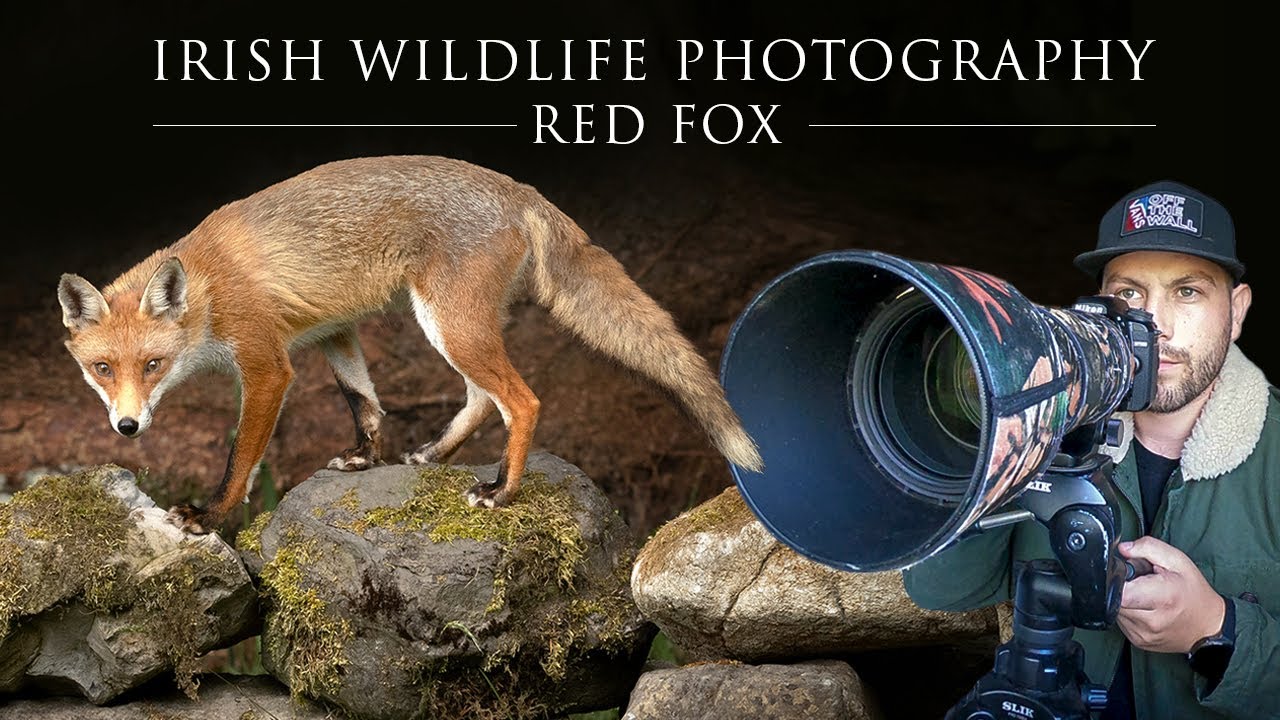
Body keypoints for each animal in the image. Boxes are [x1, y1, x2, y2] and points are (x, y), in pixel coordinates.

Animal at [57, 155, 763, 534]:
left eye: (153, 365)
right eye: (102, 368)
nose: (125, 427)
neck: (207, 289)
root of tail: (520, 188)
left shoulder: (266, 368)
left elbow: (240, 459)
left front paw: (209, 517)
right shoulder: (333, 330)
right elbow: (365, 402)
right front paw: (367, 458)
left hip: (448, 324)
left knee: (522, 400)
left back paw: (502, 491)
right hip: (456, 327)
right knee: (481, 400)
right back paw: (436, 456)